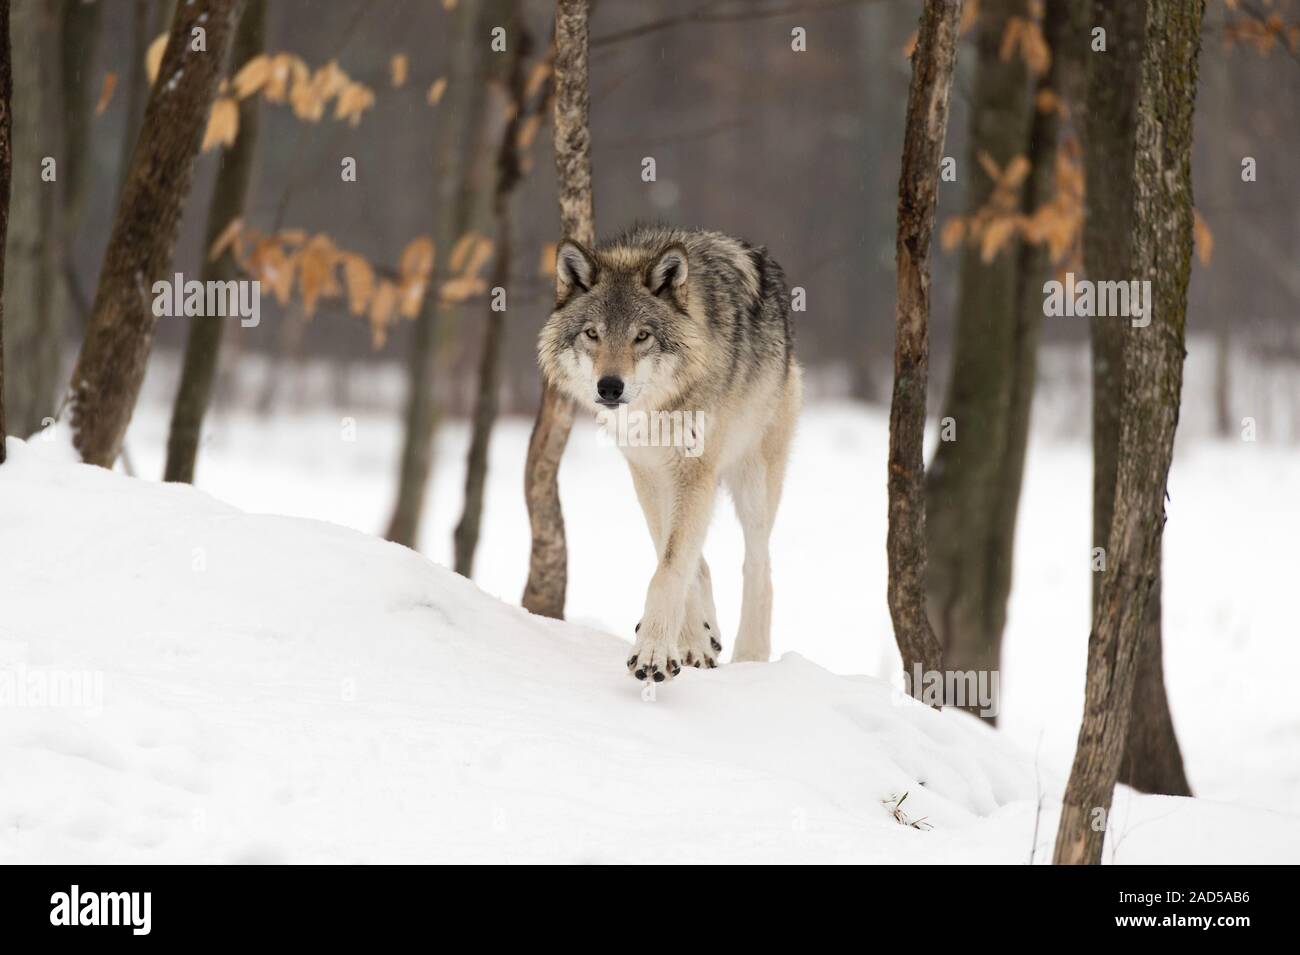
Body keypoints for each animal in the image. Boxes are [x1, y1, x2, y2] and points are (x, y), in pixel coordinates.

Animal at [538, 224, 802, 682]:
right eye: (593, 333)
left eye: (641, 336)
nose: (610, 387)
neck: (657, 411)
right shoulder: (646, 471)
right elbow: (675, 559)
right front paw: (690, 642)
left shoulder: (694, 472)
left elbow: (671, 567)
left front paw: (653, 653)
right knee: (703, 561)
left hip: (754, 479)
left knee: (758, 564)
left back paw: (750, 658)